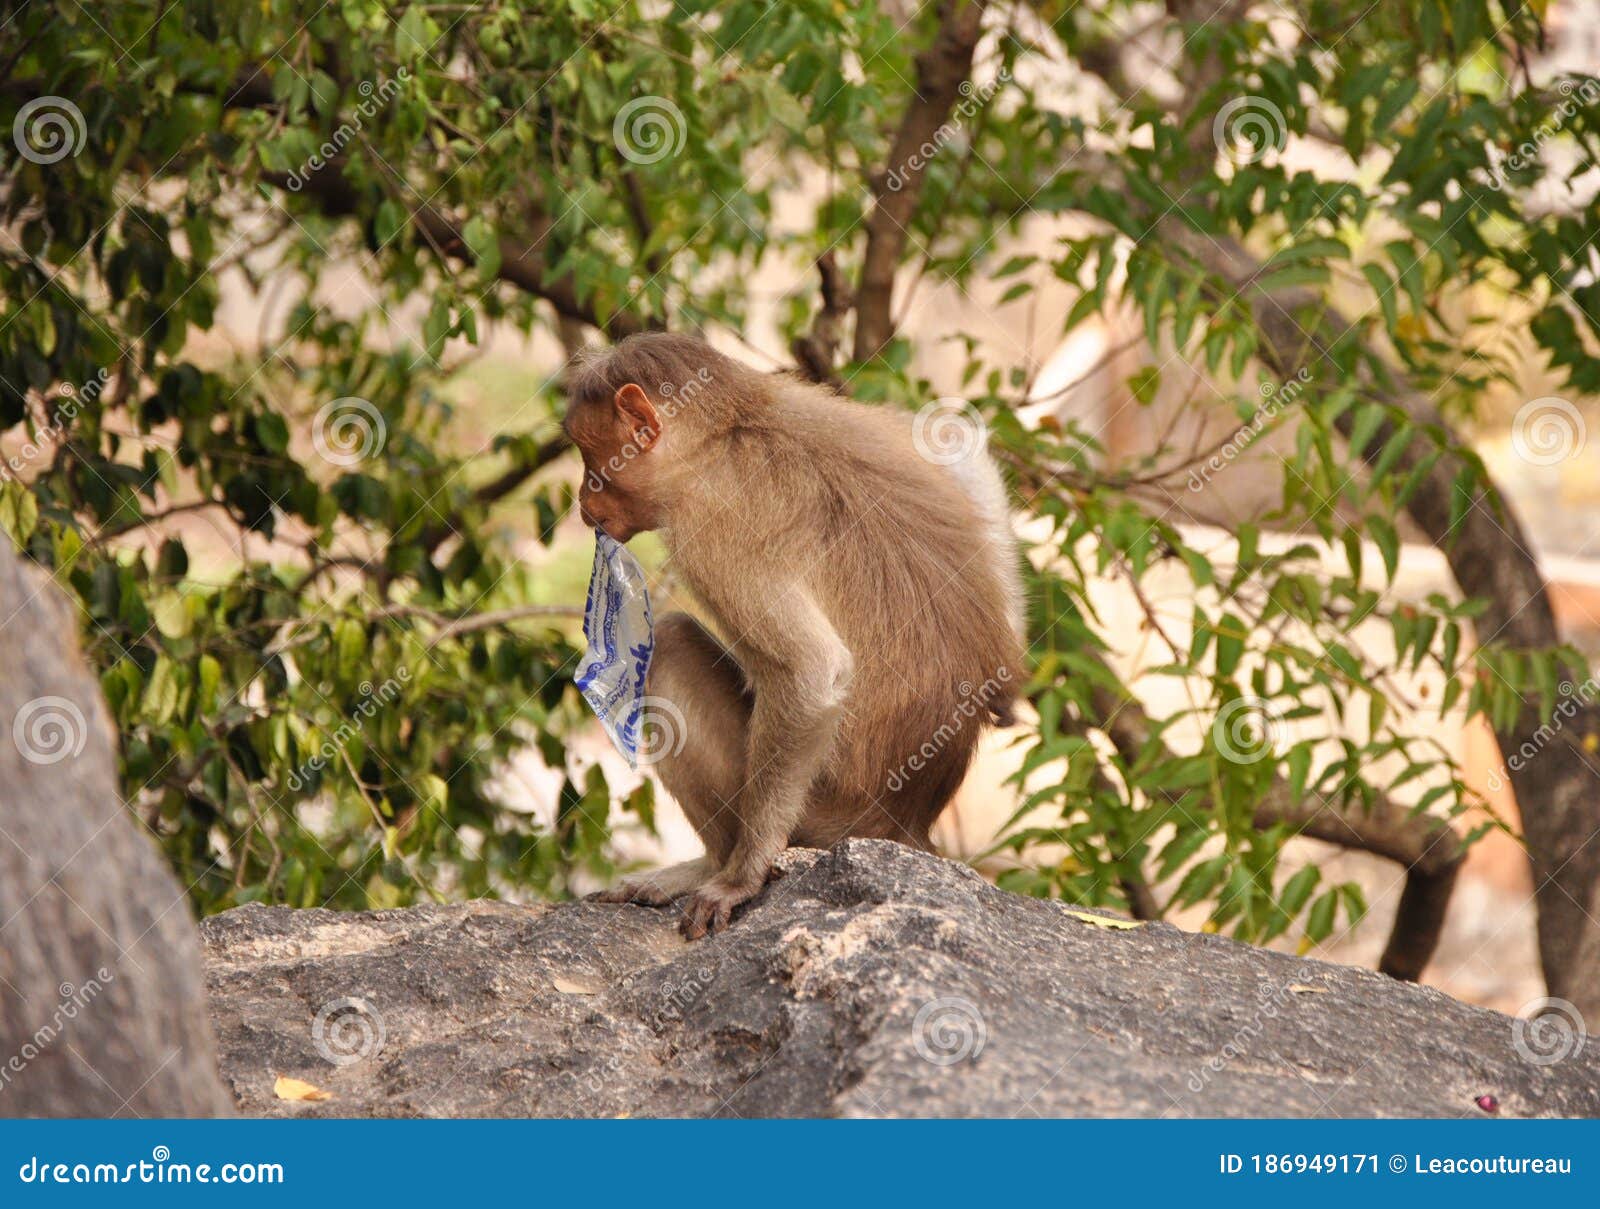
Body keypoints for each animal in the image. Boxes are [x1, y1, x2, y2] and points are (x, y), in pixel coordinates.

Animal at [563, 333, 1024, 938]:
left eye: (591, 455)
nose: (581, 500)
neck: (727, 434)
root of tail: (908, 823)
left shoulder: (710, 526)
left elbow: (812, 673)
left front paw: (740, 878)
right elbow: (958, 443)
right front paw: (1008, 696)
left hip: (821, 817)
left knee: (673, 649)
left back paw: (715, 864)